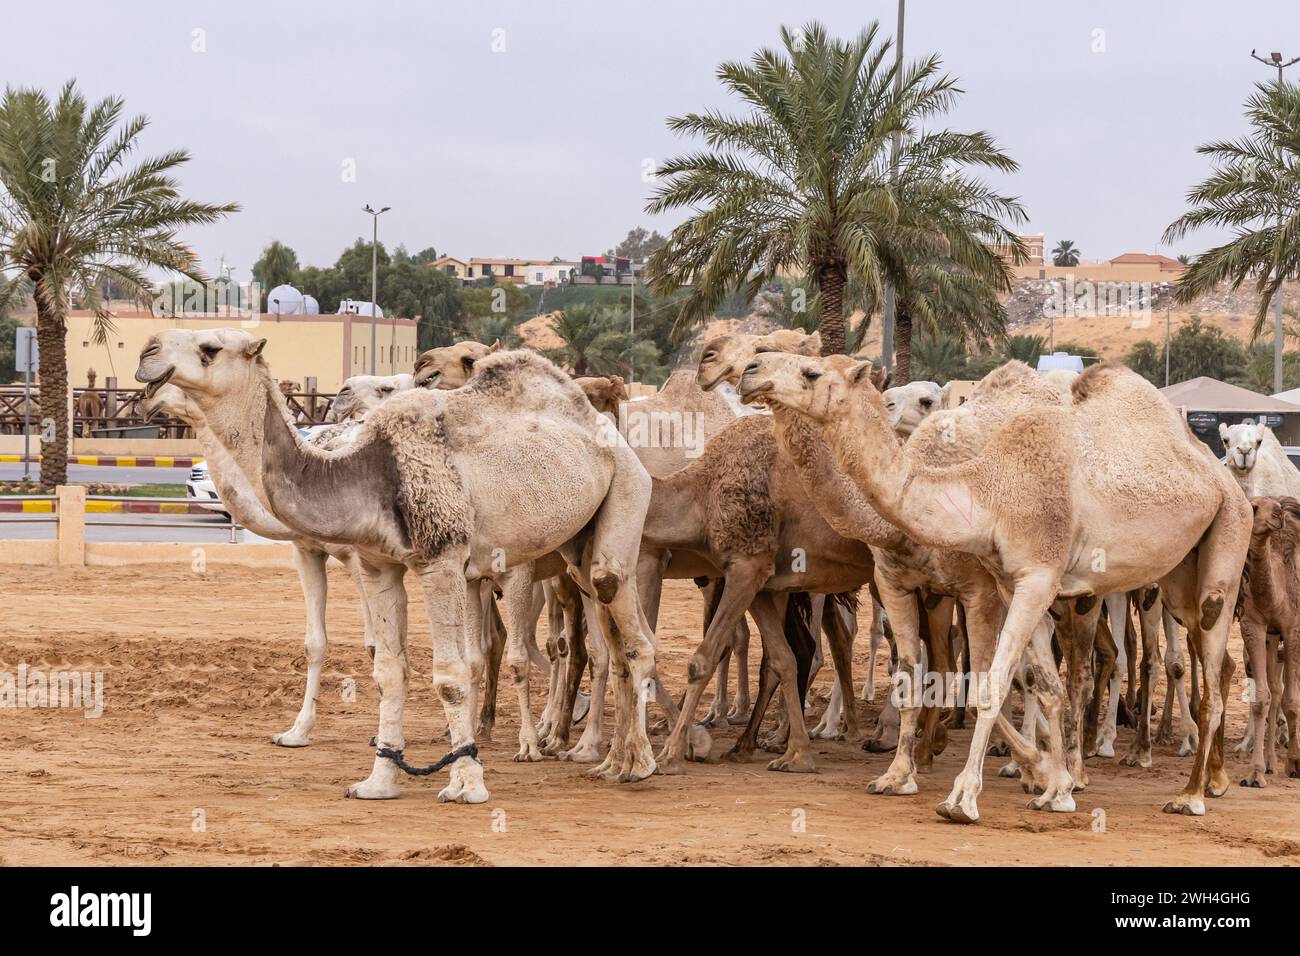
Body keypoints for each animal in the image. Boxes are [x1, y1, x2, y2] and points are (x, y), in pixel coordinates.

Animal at [137, 331, 660, 801]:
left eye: (210, 348)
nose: (147, 353)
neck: (361, 468)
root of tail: (603, 424)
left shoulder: (442, 558)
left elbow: (449, 674)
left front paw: (466, 782)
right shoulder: (376, 564)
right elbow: (388, 668)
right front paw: (379, 780)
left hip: (625, 490)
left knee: (623, 623)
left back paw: (631, 762)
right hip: (572, 546)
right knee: (607, 627)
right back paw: (611, 756)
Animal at [740, 353, 1252, 820]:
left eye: (811, 371)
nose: (749, 371)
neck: (989, 491)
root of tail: (1222, 472)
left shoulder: (1028, 580)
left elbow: (992, 683)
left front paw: (965, 798)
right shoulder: (1005, 583)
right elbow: (1038, 683)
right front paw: (1052, 788)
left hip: (1225, 540)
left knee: (1200, 674)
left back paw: (1189, 794)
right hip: (1177, 576)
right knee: (1211, 660)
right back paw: (1210, 778)